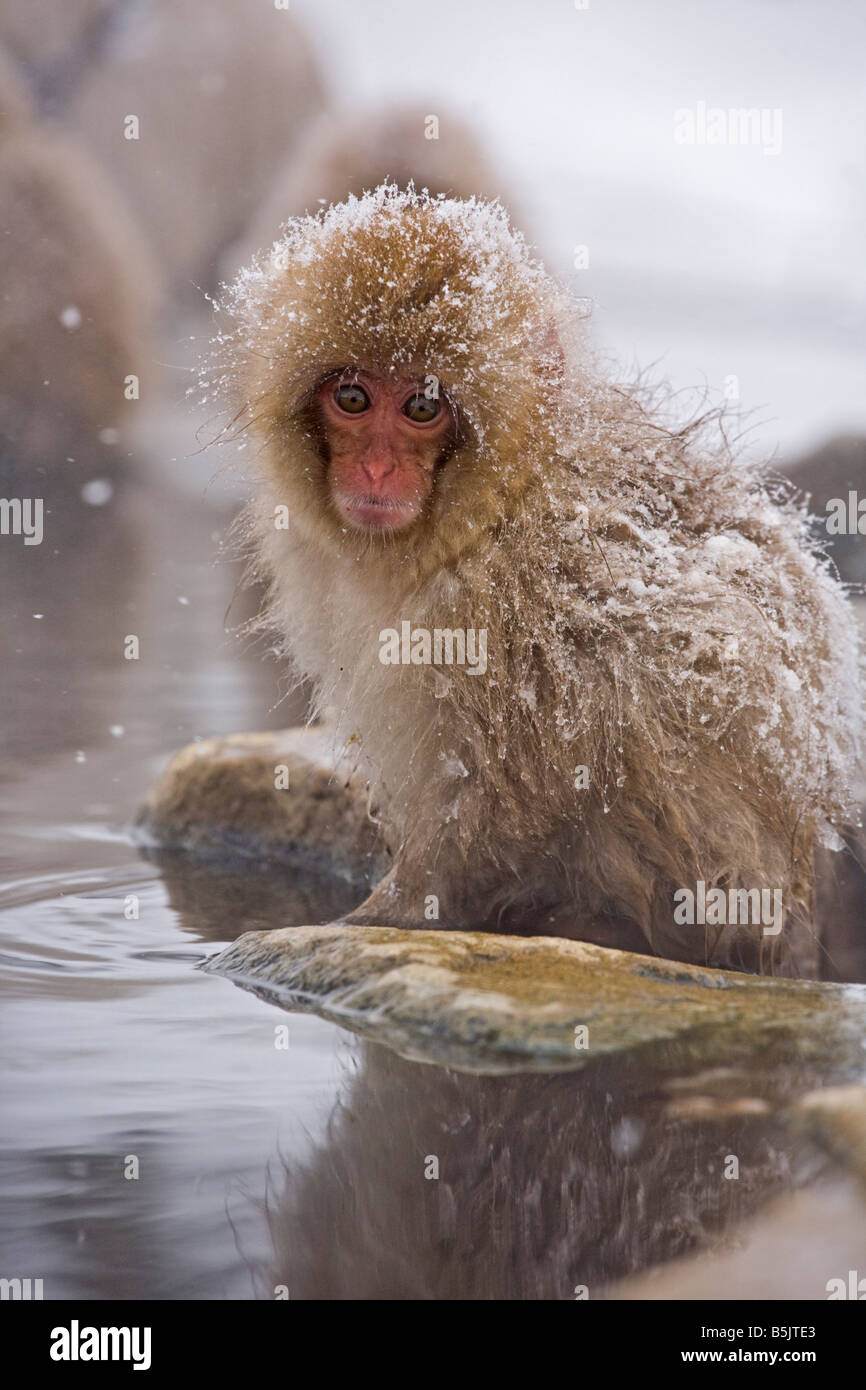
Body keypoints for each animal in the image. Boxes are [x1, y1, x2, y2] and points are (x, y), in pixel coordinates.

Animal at [206, 184, 862, 974]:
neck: (486, 513)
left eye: (422, 407)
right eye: (353, 398)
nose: (375, 470)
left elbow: (523, 777)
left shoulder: (509, 596)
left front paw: (388, 912)